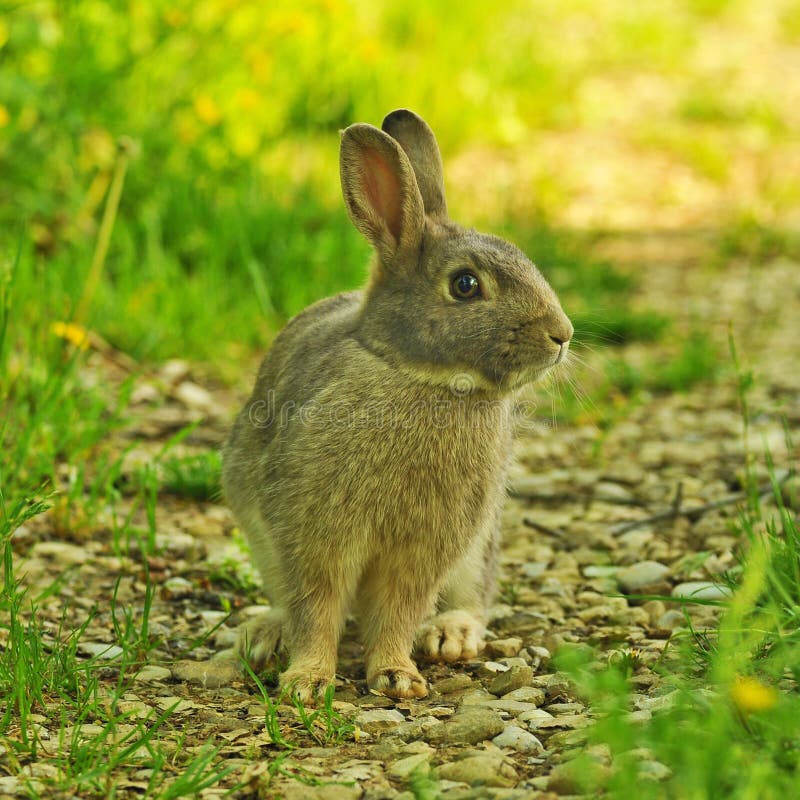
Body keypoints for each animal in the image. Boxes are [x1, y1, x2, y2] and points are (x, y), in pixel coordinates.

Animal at [221, 109, 573, 703]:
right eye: (465, 285)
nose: (562, 335)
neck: (419, 375)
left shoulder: (426, 548)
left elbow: (398, 613)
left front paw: (397, 676)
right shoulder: (312, 532)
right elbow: (316, 607)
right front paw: (307, 682)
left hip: (478, 542)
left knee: (473, 598)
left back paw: (449, 636)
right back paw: (264, 633)